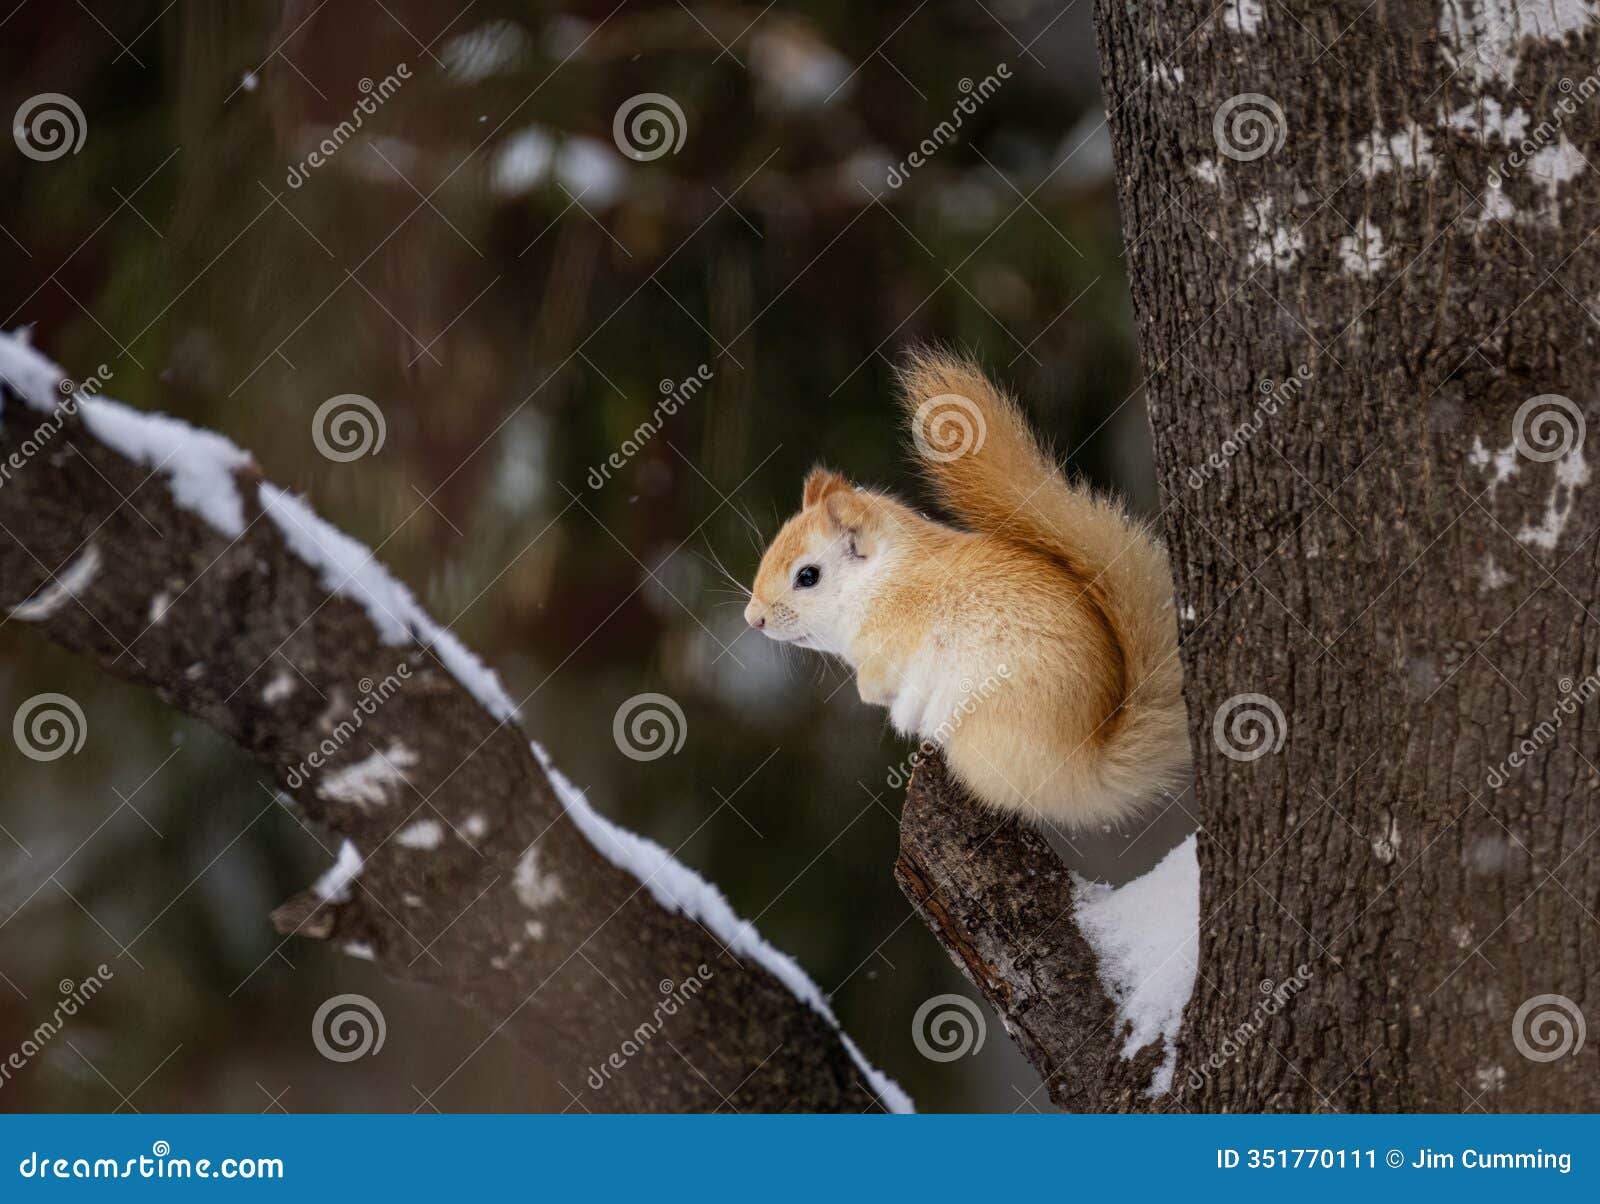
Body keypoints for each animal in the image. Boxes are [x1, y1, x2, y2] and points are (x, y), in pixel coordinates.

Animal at [744, 350, 1192, 829]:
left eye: (807, 576)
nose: (753, 619)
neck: (880, 582)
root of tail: (1084, 770)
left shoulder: (892, 638)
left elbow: (879, 679)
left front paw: (868, 692)